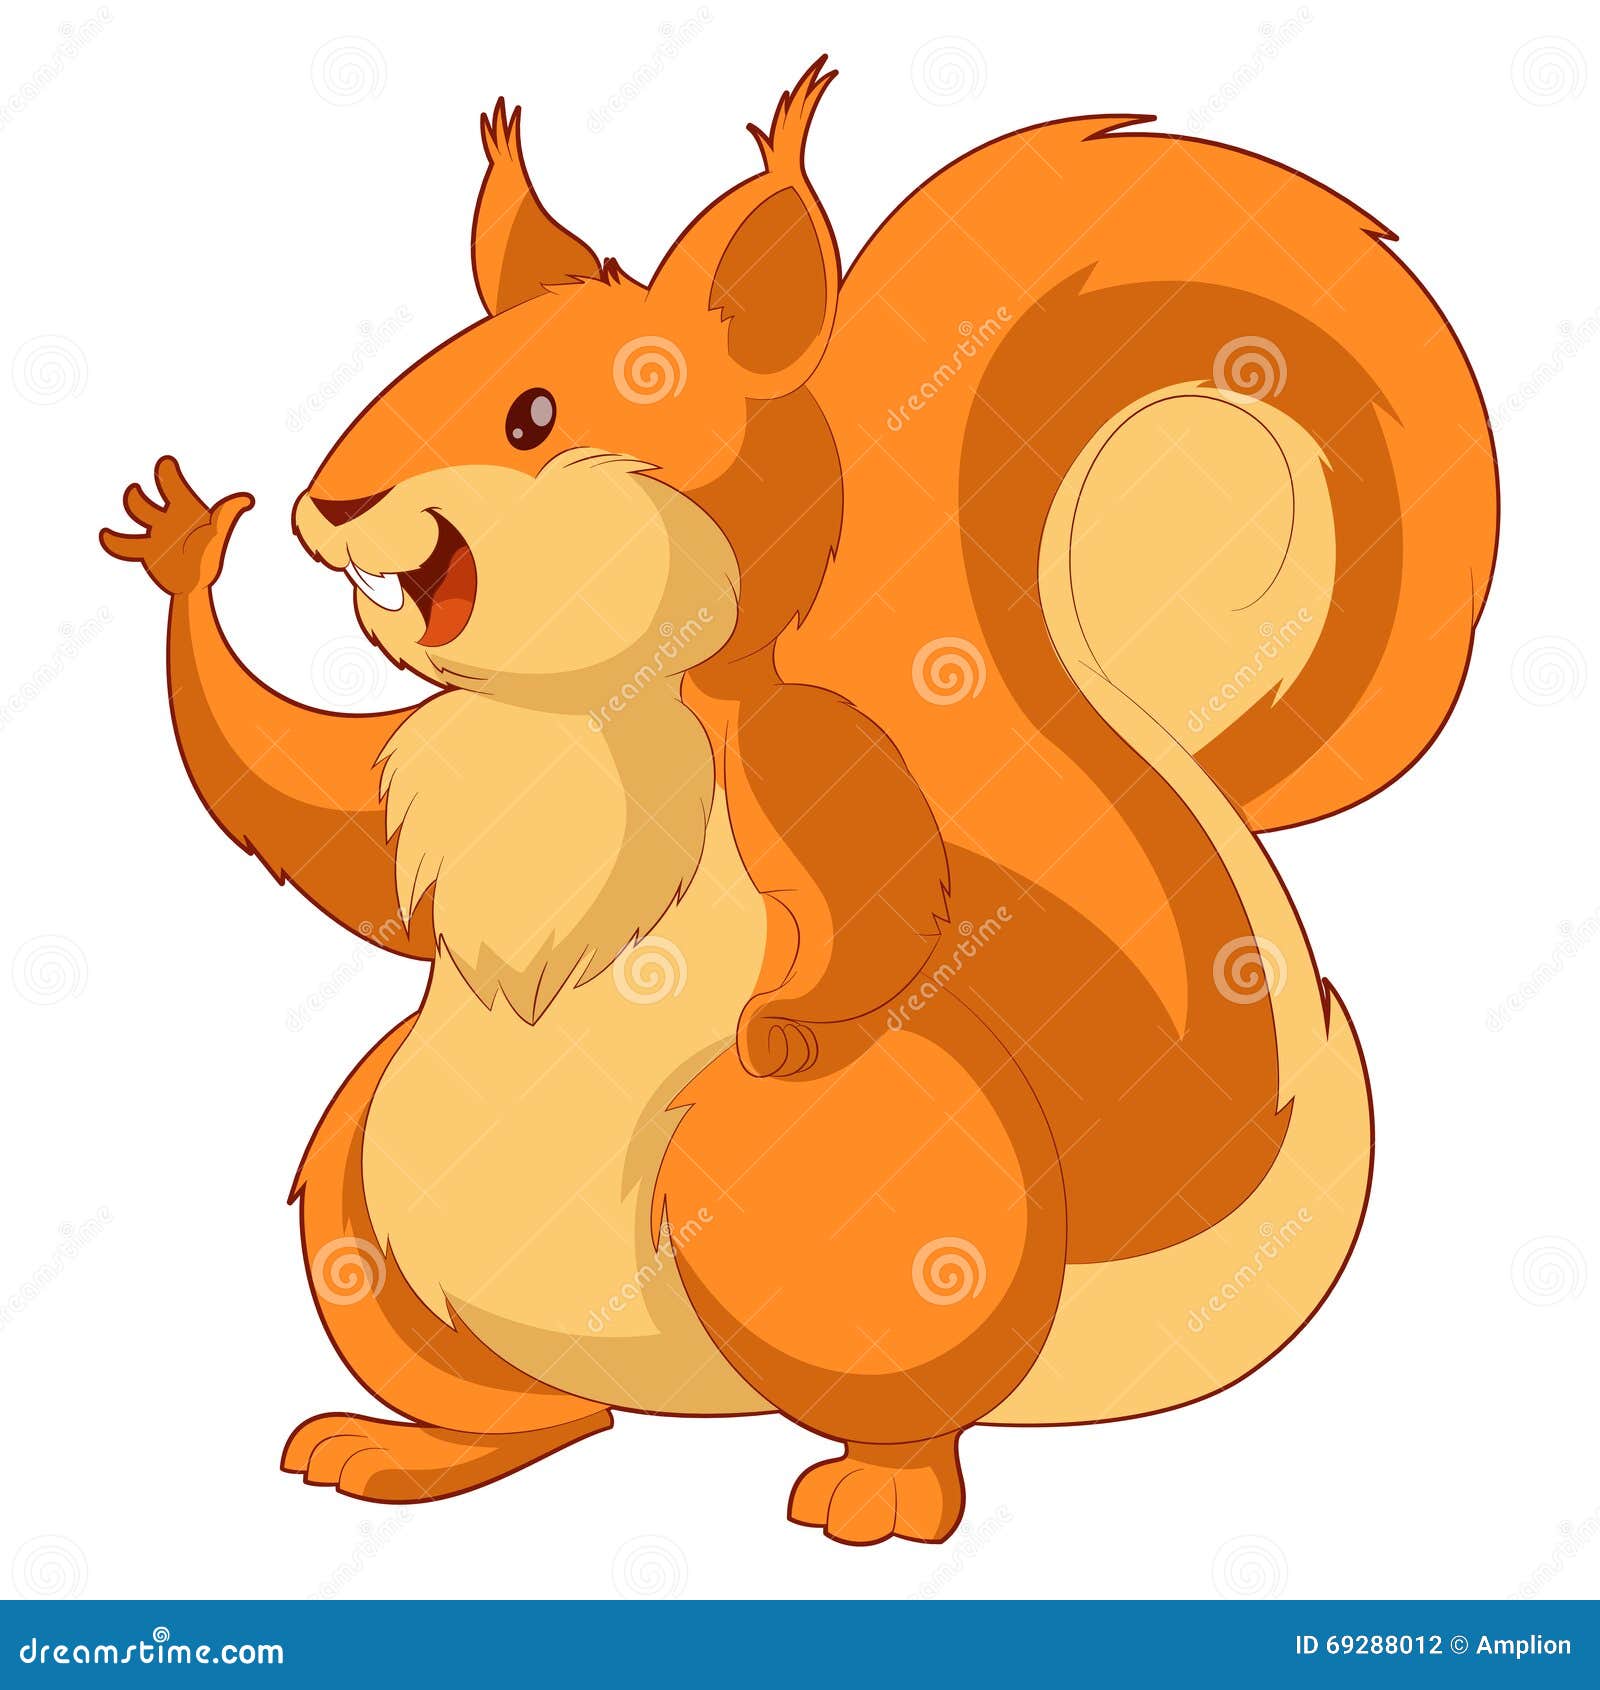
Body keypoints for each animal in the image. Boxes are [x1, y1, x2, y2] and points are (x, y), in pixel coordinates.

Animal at [100, 59, 1495, 1545]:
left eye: (534, 416)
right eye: (415, 372)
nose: (329, 499)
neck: (571, 712)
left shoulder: (798, 763)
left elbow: (876, 892)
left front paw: (784, 1020)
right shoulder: (401, 780)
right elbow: (305, 812)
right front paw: (187, 551)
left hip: (815, 1202)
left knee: (901, 1388)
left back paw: (883, 1482)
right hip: (359, 1197)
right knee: (547, 1415)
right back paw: (415, 1446)